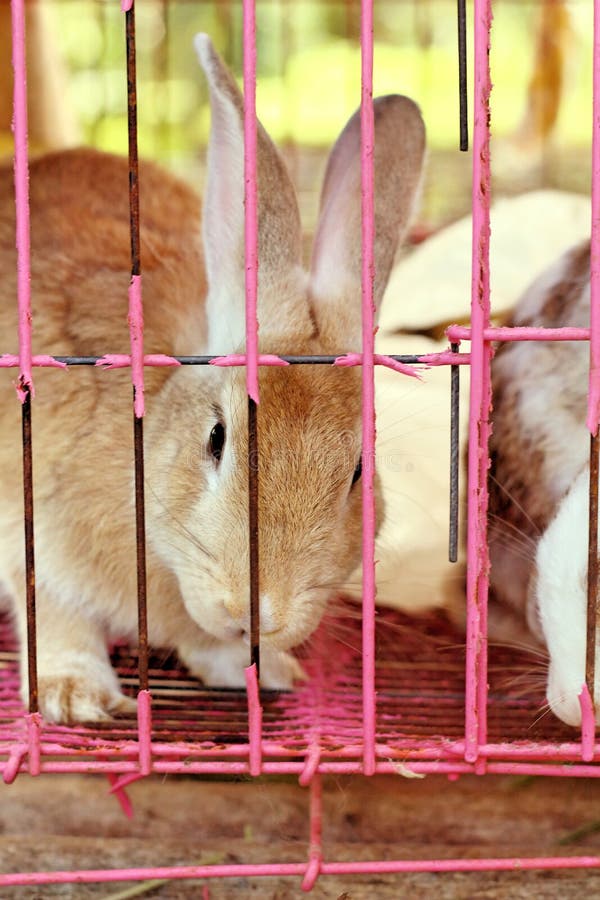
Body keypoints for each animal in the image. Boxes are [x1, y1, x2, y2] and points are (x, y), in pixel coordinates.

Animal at [0, 35, 426, 723]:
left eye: (359, 473)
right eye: (216, 440)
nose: (258, 611)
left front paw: (269, 671)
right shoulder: (27, 524)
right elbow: (54, 615)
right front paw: (76, 697)